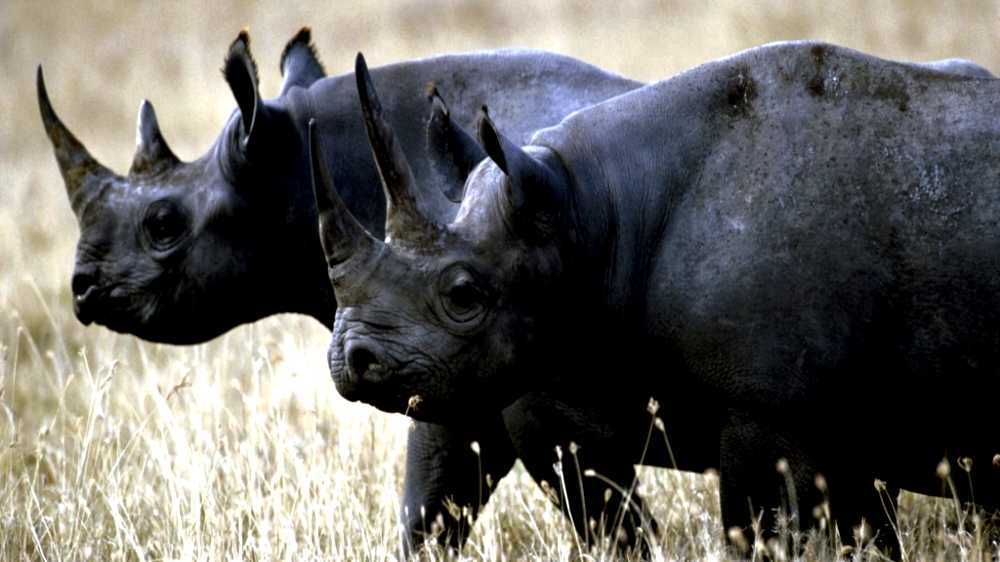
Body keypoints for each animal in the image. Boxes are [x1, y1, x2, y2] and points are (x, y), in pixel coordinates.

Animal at [38, 29, 657, 550]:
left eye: (164, 225)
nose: (83, 289)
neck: (294, 164)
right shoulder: (449, 357)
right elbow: (434, 505)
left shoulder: (509, 368)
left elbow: (604, 516)